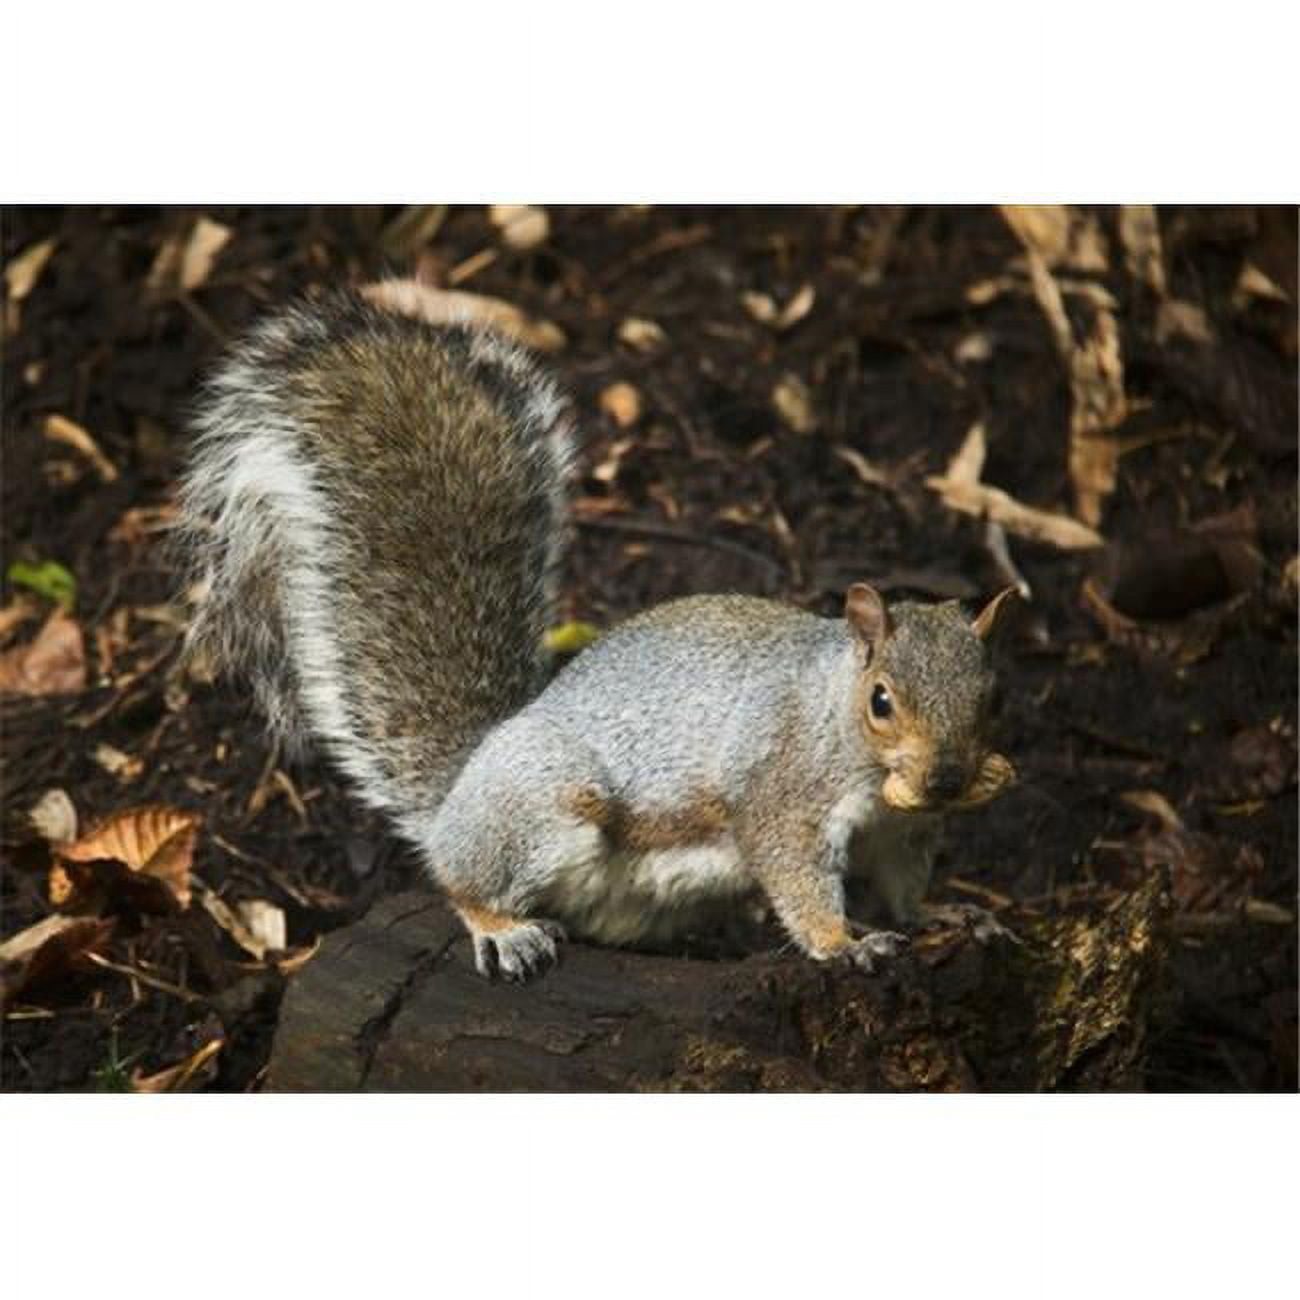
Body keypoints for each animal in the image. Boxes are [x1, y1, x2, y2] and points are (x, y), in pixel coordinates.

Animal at [176, 286, 1018, 982]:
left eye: (994, 697)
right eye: (881, 700)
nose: (947, 780)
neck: (842, 728)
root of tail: (462, 788)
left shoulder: (901, 833)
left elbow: (907, 887)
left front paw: (948, 914)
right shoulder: (784, 793)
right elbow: (795, 873)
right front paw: (844, 944)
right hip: (549, 804)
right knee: (460, 877)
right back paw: (502, 927)